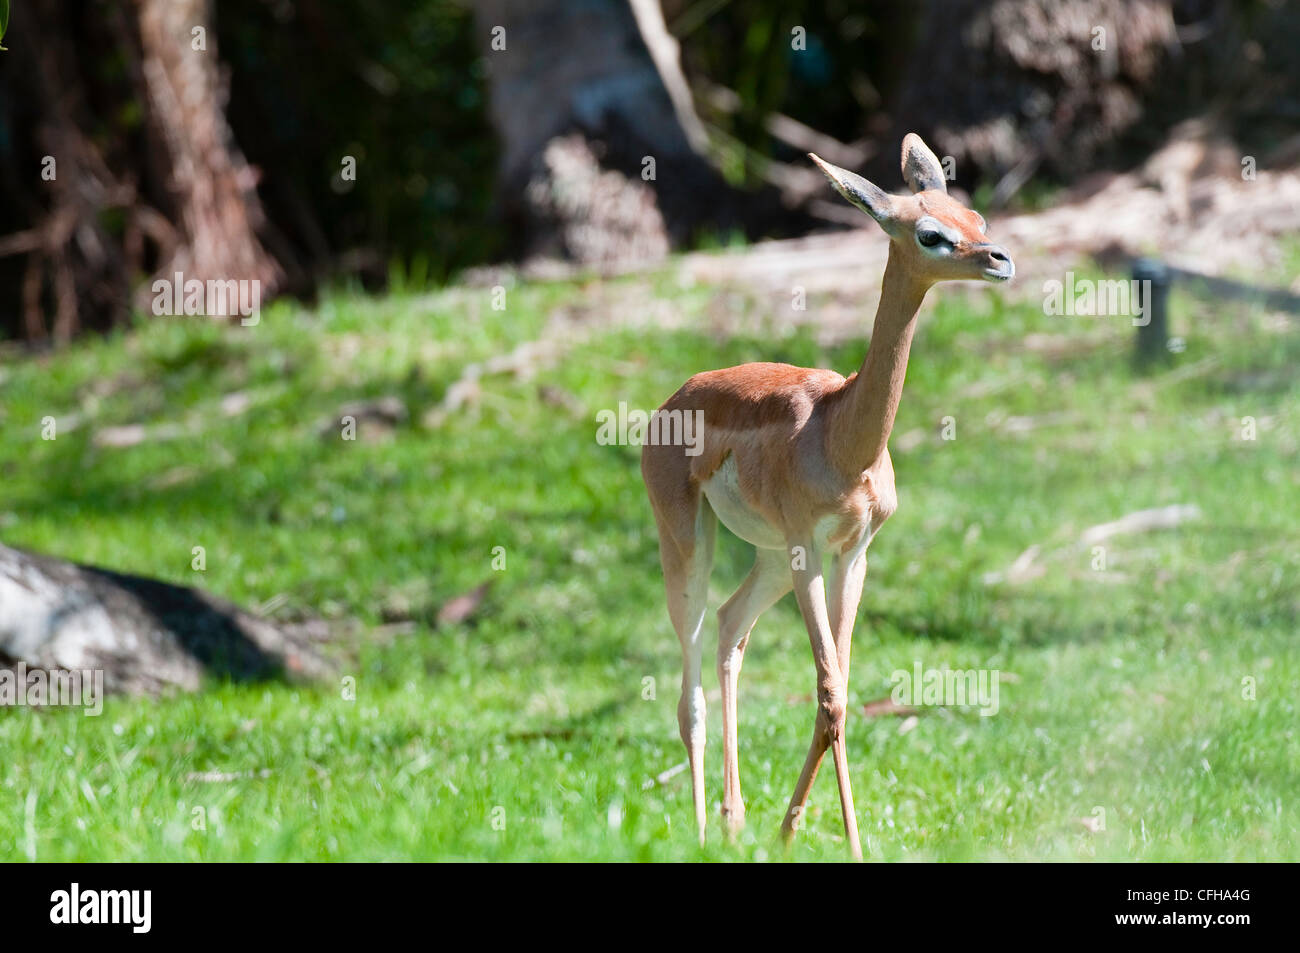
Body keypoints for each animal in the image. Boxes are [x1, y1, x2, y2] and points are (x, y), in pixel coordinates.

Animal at [640, 135, 1014, 858]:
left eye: (974, 214)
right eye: (929, 233)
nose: (1000, 258)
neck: (842, 437)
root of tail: (670, 403)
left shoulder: (854, 554)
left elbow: (838, 690)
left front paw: (796, 829)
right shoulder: (808, 551)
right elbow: (830, 691)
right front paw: (836, 839)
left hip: (764, 559)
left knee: (730, 627)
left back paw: (734, 821)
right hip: (690, 542)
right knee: (689, 685)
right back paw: (700, 831)